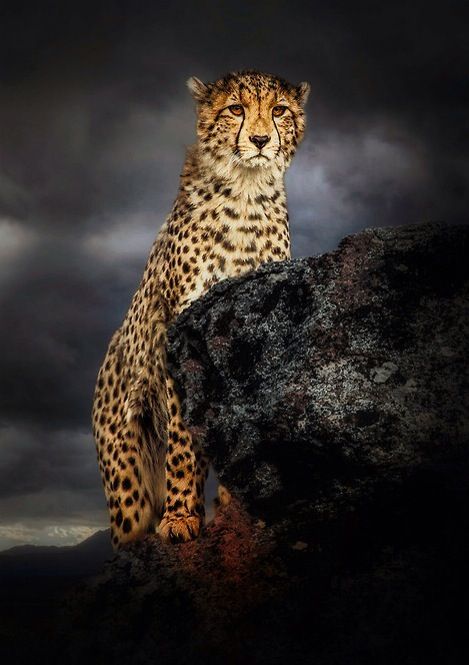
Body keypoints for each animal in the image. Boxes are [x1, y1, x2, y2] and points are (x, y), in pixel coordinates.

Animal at [92, 70, 310, 549]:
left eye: (279, 110)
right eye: (236, 109)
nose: (262, 139)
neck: (245, 194)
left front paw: (236, 507)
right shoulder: (181, 337)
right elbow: (182, 439)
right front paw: (180, 518)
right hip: (127, 482)